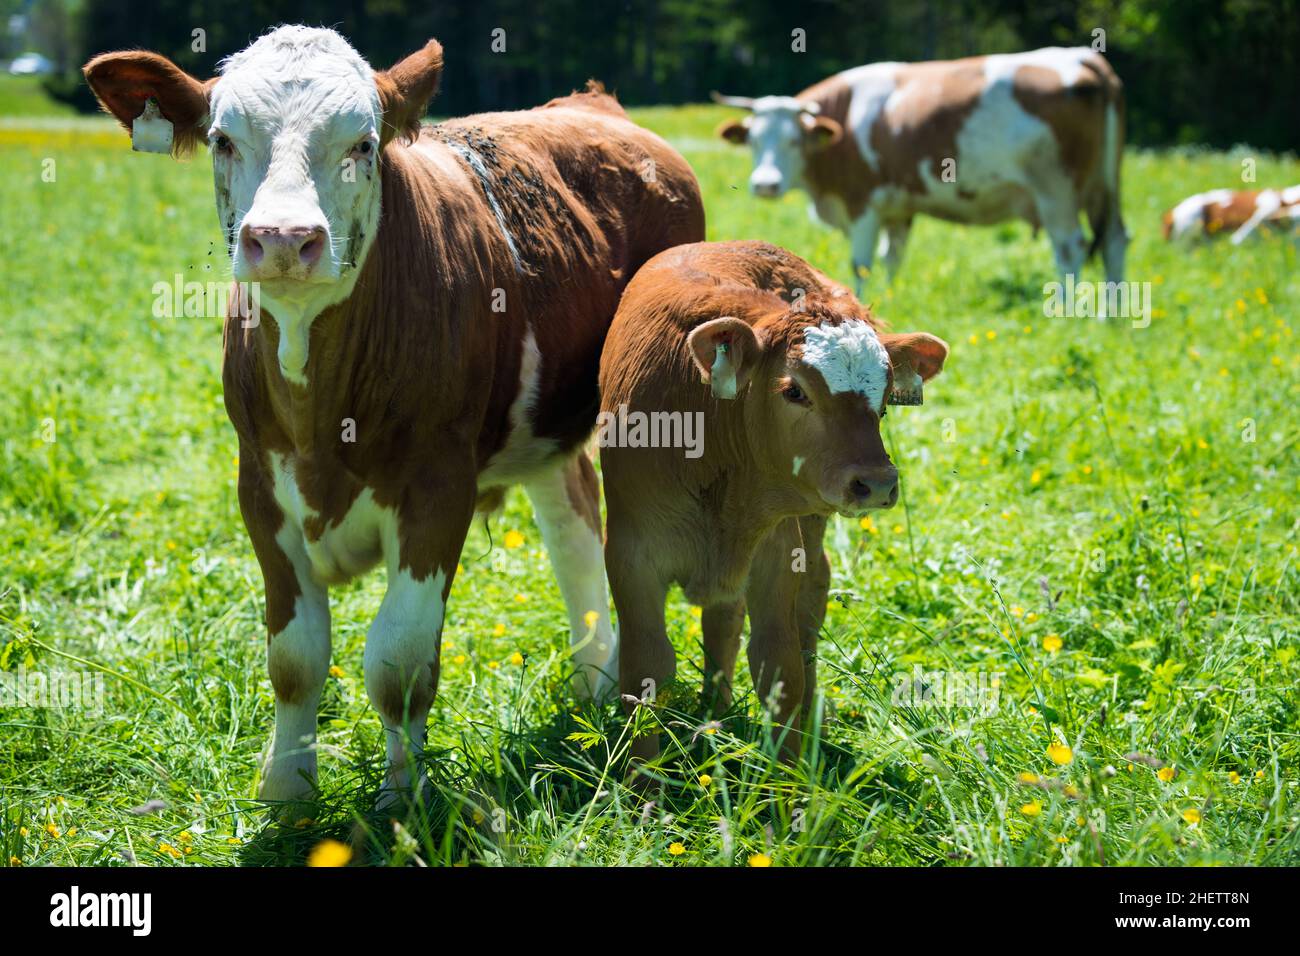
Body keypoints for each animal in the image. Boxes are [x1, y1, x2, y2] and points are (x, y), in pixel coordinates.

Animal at [83, 25, 705, 806]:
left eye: (363, 143)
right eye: (224, 140)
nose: (282, 238)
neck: (318, 408)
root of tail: (593, 106)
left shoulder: (438, 486)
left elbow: (399, 661)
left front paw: (403, 800)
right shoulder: (258, 480)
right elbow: (294, 657)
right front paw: (286, 792)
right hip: (544, 429)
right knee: (573, 527)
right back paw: (592, 681)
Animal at [598, 240, 947, 775]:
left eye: (886, 397)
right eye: (794, 390)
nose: (876, 483)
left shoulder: (778, 548)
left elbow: (779, 667)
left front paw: (786, 782)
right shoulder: (629, 553)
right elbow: (645, 671)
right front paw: (643, 784)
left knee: (807, 607)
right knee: (722, 621)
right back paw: (715, 713)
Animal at [714, 47, 1128, 292]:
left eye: (794, 141)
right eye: (753, 140)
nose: (765, 184)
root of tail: (1084, 59)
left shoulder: (862, 204)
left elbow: (861, 265)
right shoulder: (899, 210)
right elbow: (891, 258)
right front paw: (889, 297)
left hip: (1057, 190)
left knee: (1070, 247)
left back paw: (1069, 314)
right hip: (1104, 187)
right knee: (1114, 241)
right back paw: (1110, 318)